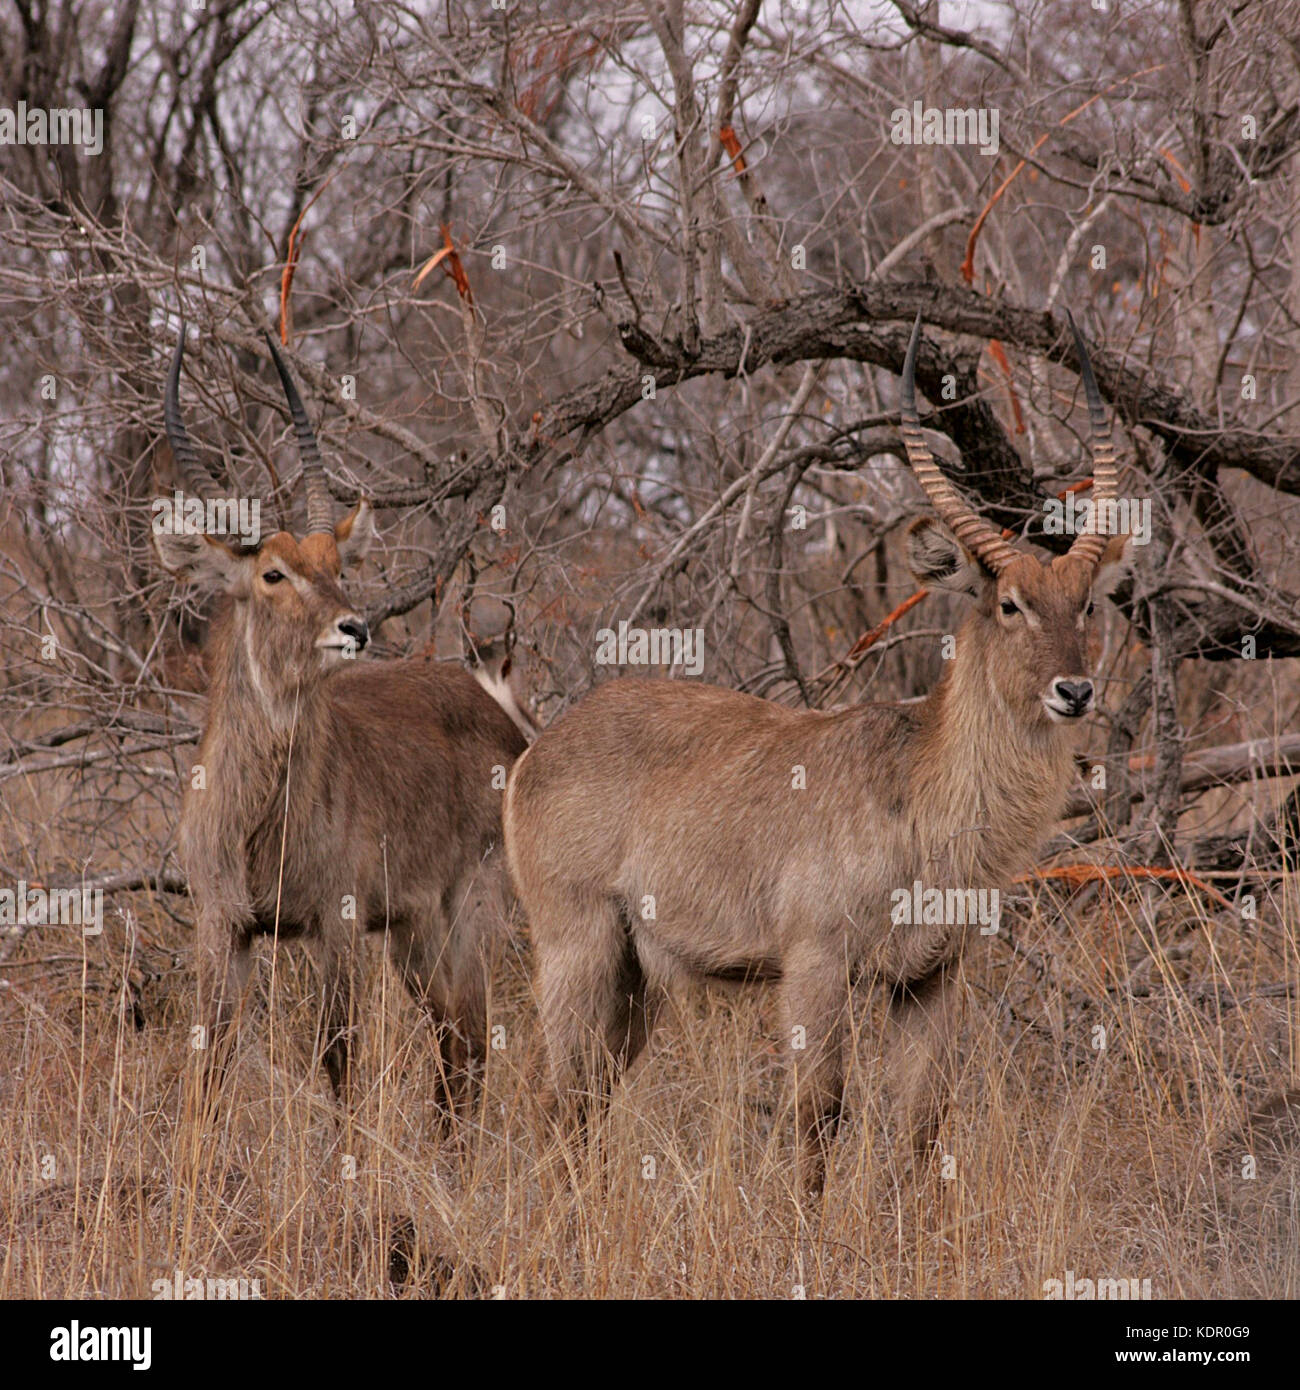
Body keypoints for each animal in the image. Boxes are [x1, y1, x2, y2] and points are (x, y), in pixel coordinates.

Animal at [156, 328, 528, 1111]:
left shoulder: (337, 922)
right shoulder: (223, 925)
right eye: (272, 572)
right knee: (452, 1042)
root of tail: (497, 712)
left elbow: (337, 1059)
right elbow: (209, 1067)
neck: (257, 817)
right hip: (413, 930)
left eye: (336, 563)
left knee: (473, 1041)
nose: (354, 626)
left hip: (468, 909)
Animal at [504, 313, 1130, 1193]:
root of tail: (540, 745)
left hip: (638, 974)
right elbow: (818, 1116)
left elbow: (921, 1123)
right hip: (577, 945)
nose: (1074, 691)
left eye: (1087, 604)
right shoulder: (814, 963)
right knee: (554, 1095)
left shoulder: (933, 976)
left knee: (586, 1100)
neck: (921, 791)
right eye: (1009, 603)